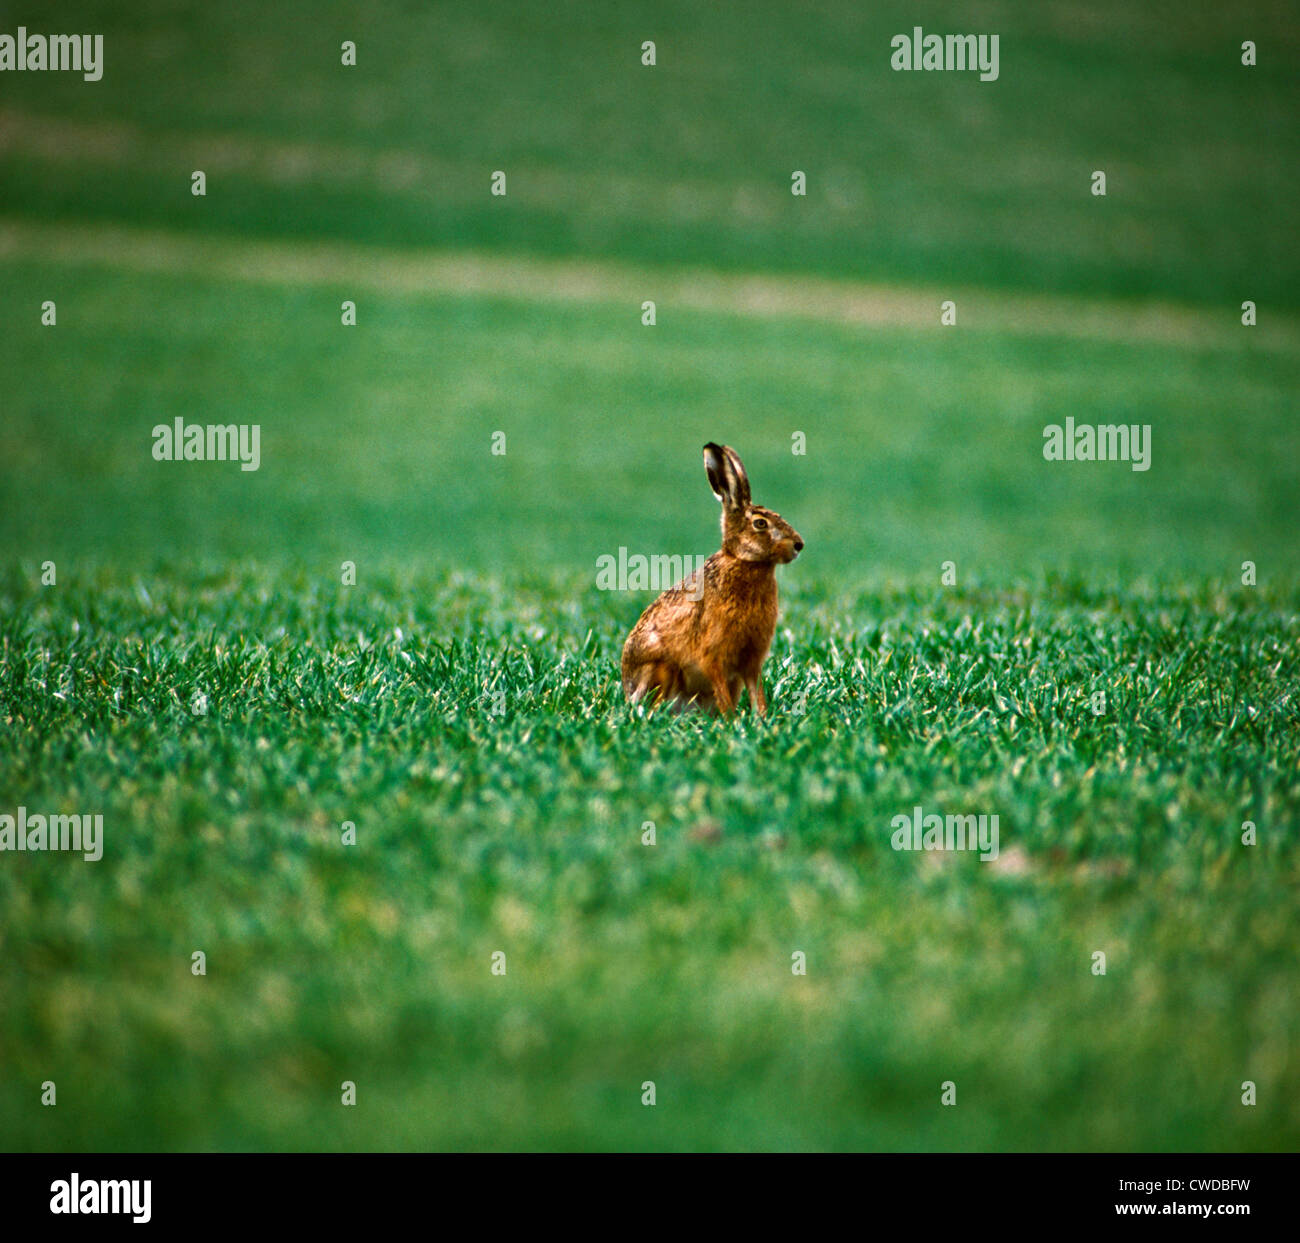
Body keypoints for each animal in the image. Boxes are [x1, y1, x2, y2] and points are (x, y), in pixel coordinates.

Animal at [621, 443, 803, 714]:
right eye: (760, 523)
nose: (798, 545)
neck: (741, 560)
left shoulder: (751, 659)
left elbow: (756, 690)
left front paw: (760, 717)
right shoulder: (713, 655)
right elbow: (721, 689)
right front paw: (733, 720)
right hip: (660, 668)